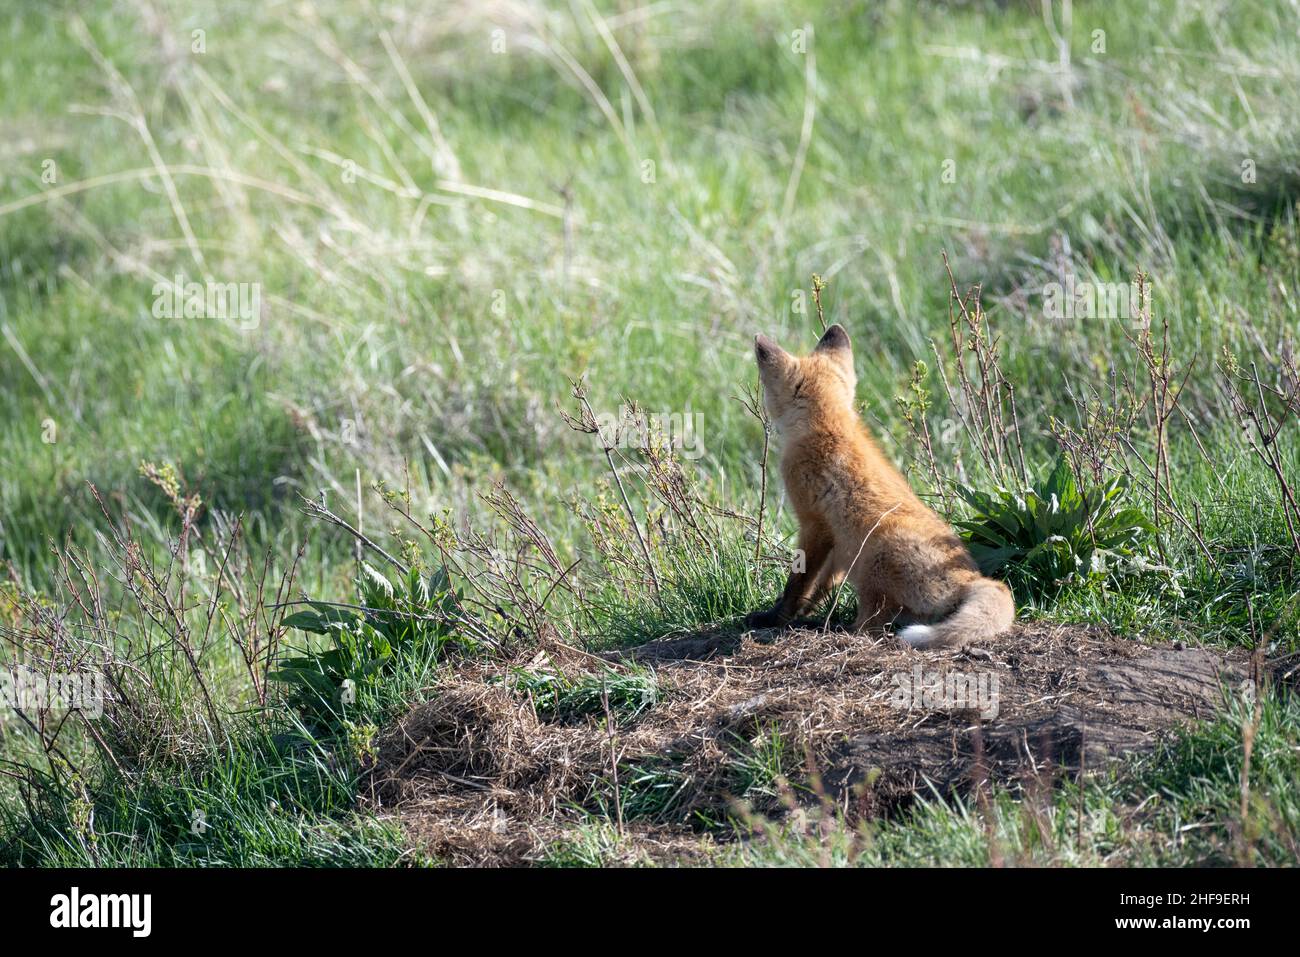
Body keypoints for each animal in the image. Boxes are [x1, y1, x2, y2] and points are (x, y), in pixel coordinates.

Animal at [745, 323, 1015, 650]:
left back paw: (829, 630)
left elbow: (798, 583)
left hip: (874, 556)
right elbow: (819, 587)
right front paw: (797, 612)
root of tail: (973, 580)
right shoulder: (836, 543)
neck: (830, 427)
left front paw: (778, 618)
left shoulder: (813, 524)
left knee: (869, 626)